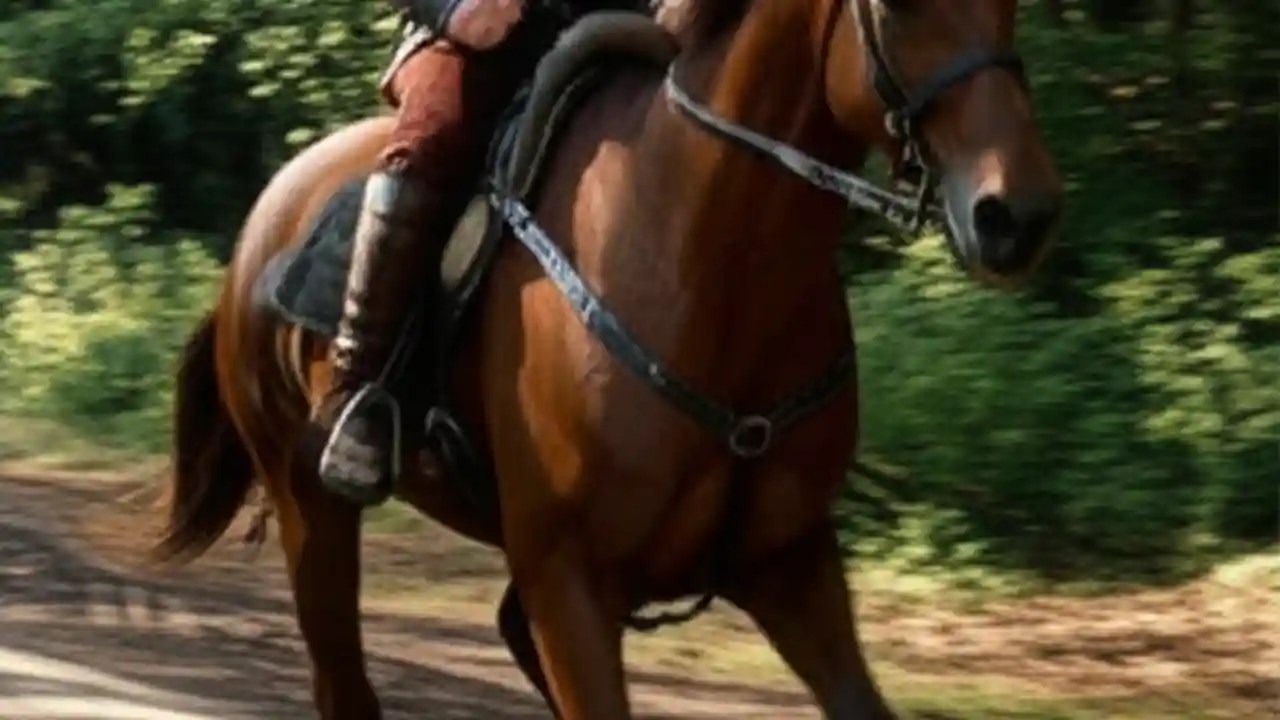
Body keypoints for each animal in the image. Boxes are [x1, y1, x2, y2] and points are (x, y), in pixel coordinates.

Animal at [153, 0, 1062, 718]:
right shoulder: (571, 583)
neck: (703, 258)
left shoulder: (791, 568)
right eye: (900, 4)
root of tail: (260, 227)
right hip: (310, 505)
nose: (1017, 216)